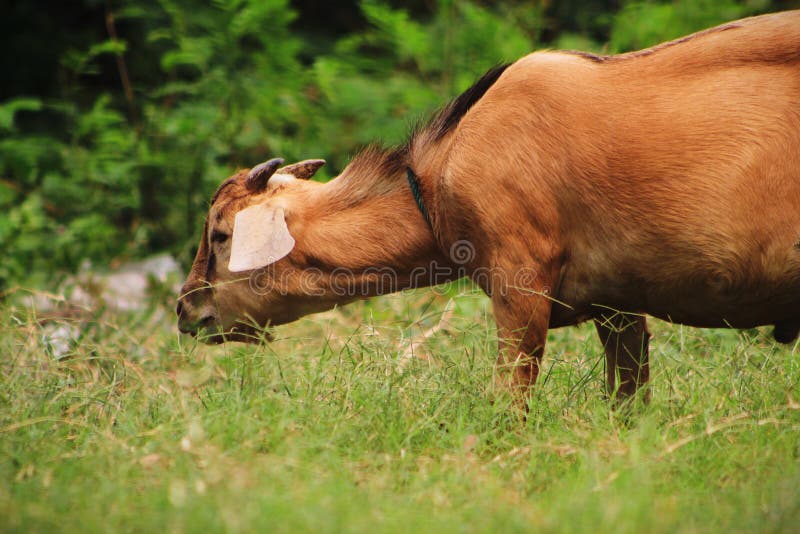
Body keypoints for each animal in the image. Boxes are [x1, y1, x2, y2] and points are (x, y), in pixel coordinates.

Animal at [178, 11, 800, 403]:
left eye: (220, 234)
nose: (185, 310)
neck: (439, 174)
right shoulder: (618, 304)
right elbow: (629, 401)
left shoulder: (520, 283)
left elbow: (510, 403)